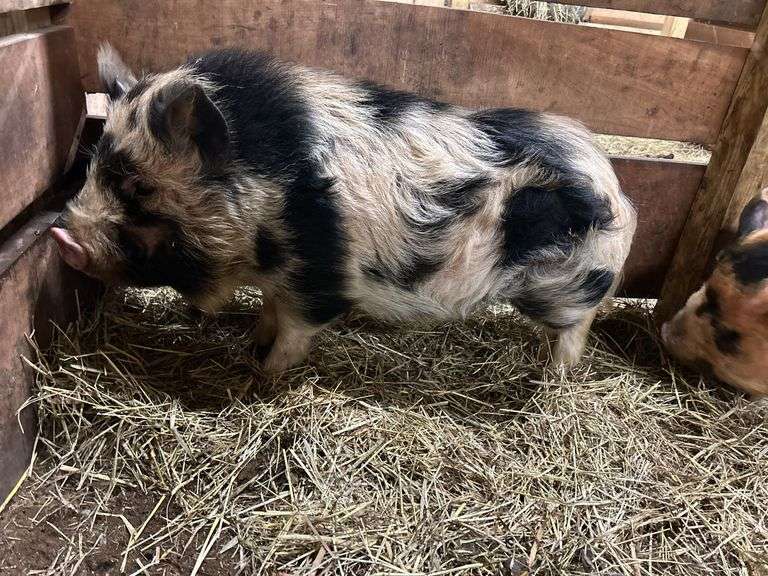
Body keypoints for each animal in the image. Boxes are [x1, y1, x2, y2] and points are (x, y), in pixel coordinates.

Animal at [51, 45, 637, 373]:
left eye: (137, 186)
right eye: (93, 167)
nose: (61, 237)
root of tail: (614, 182)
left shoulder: (319, 273)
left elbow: (297, 328)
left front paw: (266, 373)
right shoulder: (280, 277)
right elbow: (269, 312)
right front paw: (251, 345)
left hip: (567, 280)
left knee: (577, 324)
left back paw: (552, 376)